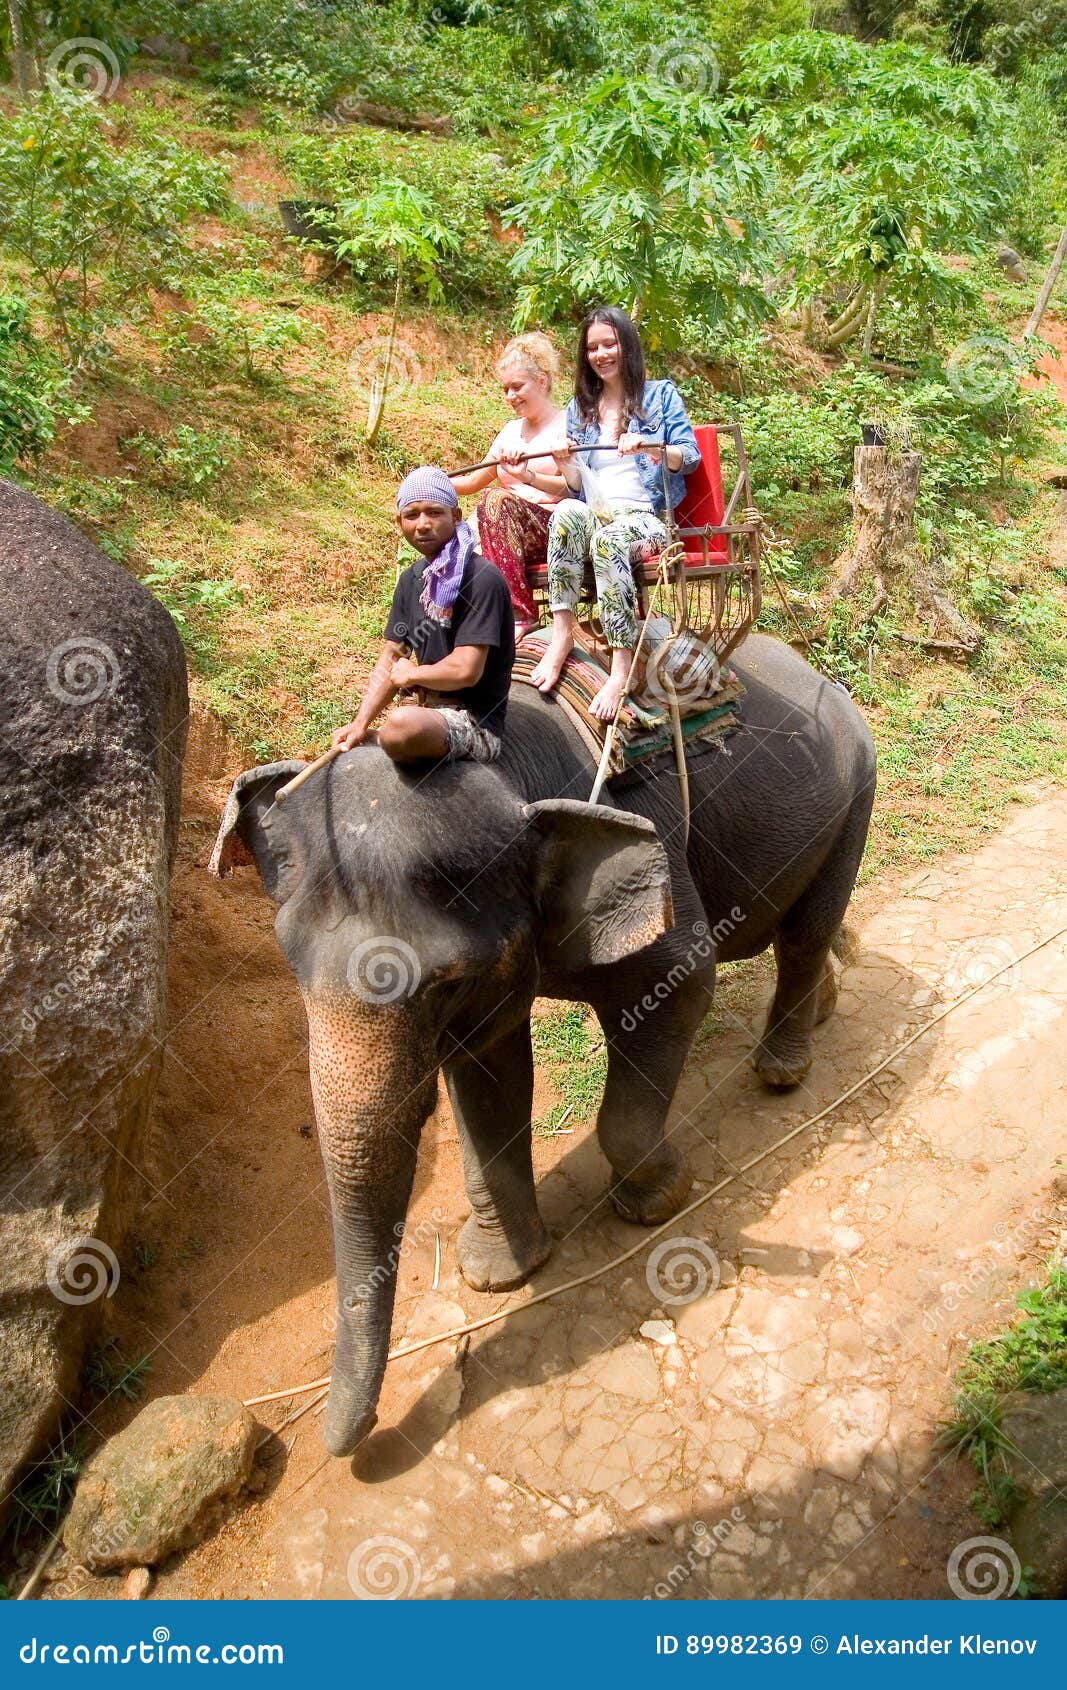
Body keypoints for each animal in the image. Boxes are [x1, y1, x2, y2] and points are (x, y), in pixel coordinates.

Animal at [211, 632, 875, 1457]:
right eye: (291, 965)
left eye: (443, 983)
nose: (344, 1448)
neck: (509, 775)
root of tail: (821, 677)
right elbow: (487, 1069)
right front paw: (498, 1275)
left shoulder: (654, 866)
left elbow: (680, 988)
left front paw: (658, 1199)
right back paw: (821, 1013)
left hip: (855, 792)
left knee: (807, 927)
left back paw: (782, 1072)